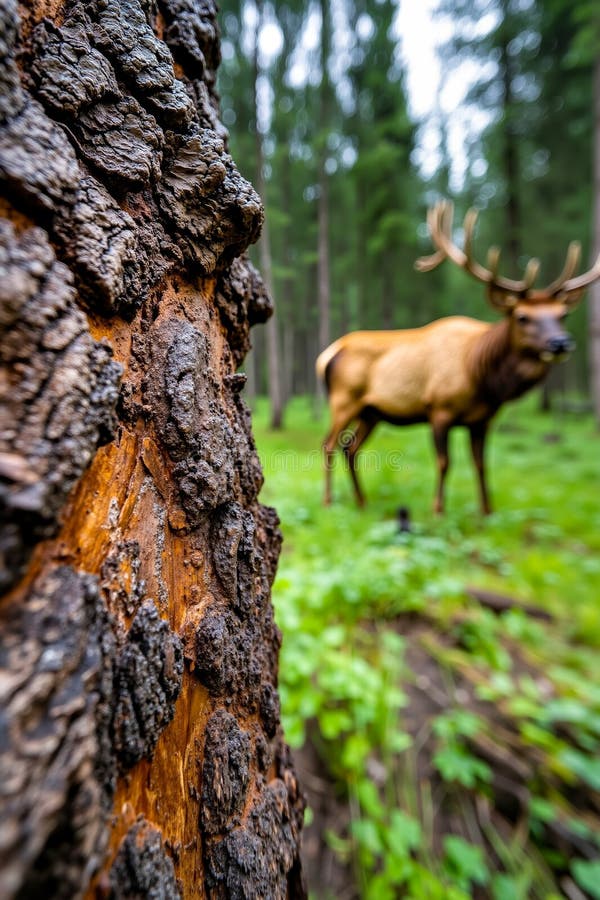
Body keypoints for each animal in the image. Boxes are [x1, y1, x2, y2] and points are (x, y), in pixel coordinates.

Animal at [317, 200, 600, 514]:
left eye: (563, 315)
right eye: (522, 316)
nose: (561, 343)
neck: (483, 377)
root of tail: (329, 353)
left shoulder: (482, 420)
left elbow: (481, 465)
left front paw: (487, 512)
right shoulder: (439, 409)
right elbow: (444, 462)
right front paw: (438, 509)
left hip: (371, 412)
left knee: (350, 447)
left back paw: (361, 501)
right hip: (344, 399)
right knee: (328, 444)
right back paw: (328, 500)